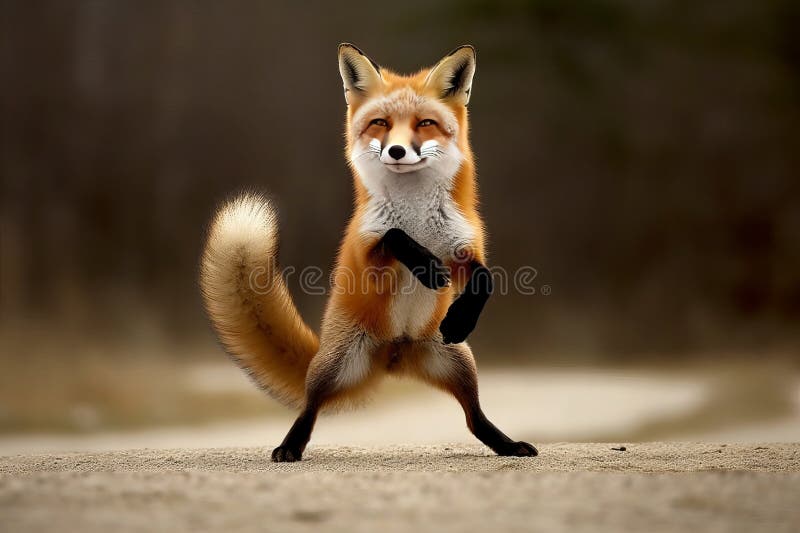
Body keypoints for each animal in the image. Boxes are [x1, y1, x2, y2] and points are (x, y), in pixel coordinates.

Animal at [200, 43, 538, 462]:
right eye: (380, 123)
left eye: (425, 123)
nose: (396, 150)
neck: (417, 216)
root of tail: (394, 357)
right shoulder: (367, 255)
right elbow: (395, 236)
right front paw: (425, 268)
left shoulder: (462, 249)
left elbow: (485, 278)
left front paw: (461, 316)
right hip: (333, 367)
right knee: (309, 407)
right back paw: (289, 446)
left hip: (460, 363)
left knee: (474, 420)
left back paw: (507, 445)